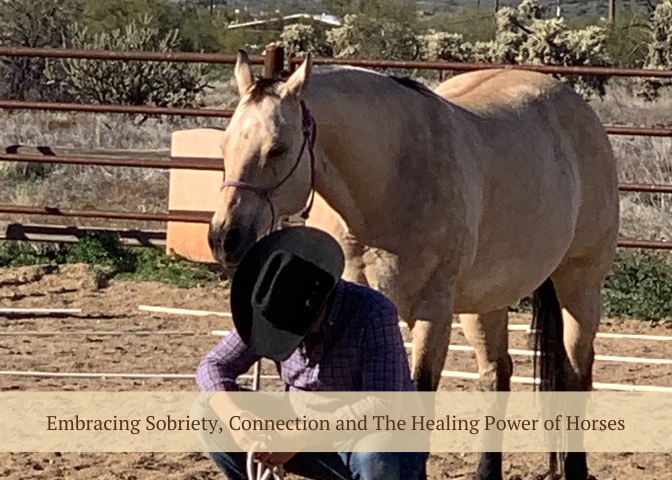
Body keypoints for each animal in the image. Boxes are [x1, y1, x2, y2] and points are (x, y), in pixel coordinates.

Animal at [207, 51, 620, 480]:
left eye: (278, 149)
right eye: (224, 143)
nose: (225, 238)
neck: (391, 181)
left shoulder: (432, 315)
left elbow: (419, 400)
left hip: (579, 284)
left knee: (575, 373)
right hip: (485, 302)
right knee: (496, 376)